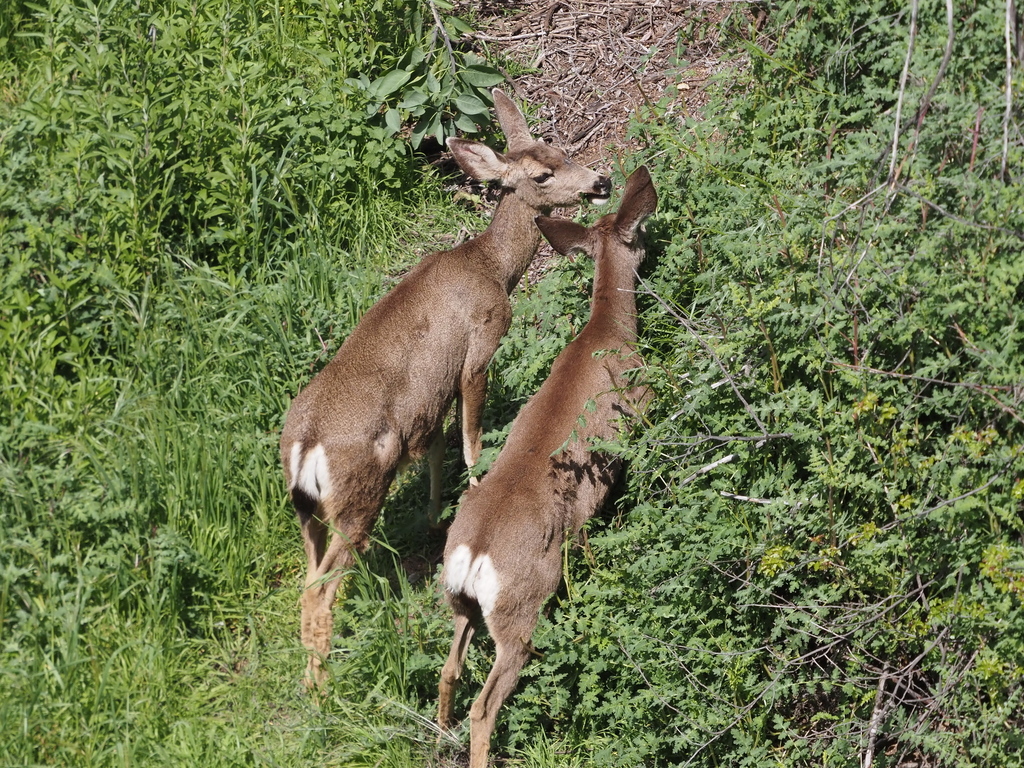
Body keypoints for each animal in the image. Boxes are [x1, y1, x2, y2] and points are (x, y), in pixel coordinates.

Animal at [279, 89, 612, 689]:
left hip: (305, 508)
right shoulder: (479, 347)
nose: (601, 180)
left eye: (562, 149)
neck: (494, 267)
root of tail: (305, 446)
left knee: (307, 579)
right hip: (358, 495)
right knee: (319, 590)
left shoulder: (429, 401)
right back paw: (322, 689)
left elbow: (436, 446)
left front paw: (437, 516)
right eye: (544, 173)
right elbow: (471, 440)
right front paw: (473, 492)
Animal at [436, 166, 658, 768]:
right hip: (524, 600)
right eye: (640, 233)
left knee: (448, 670)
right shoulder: (641, 410)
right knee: (484, 703)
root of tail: (475, 554)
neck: (606, 332)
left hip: (462, 602)